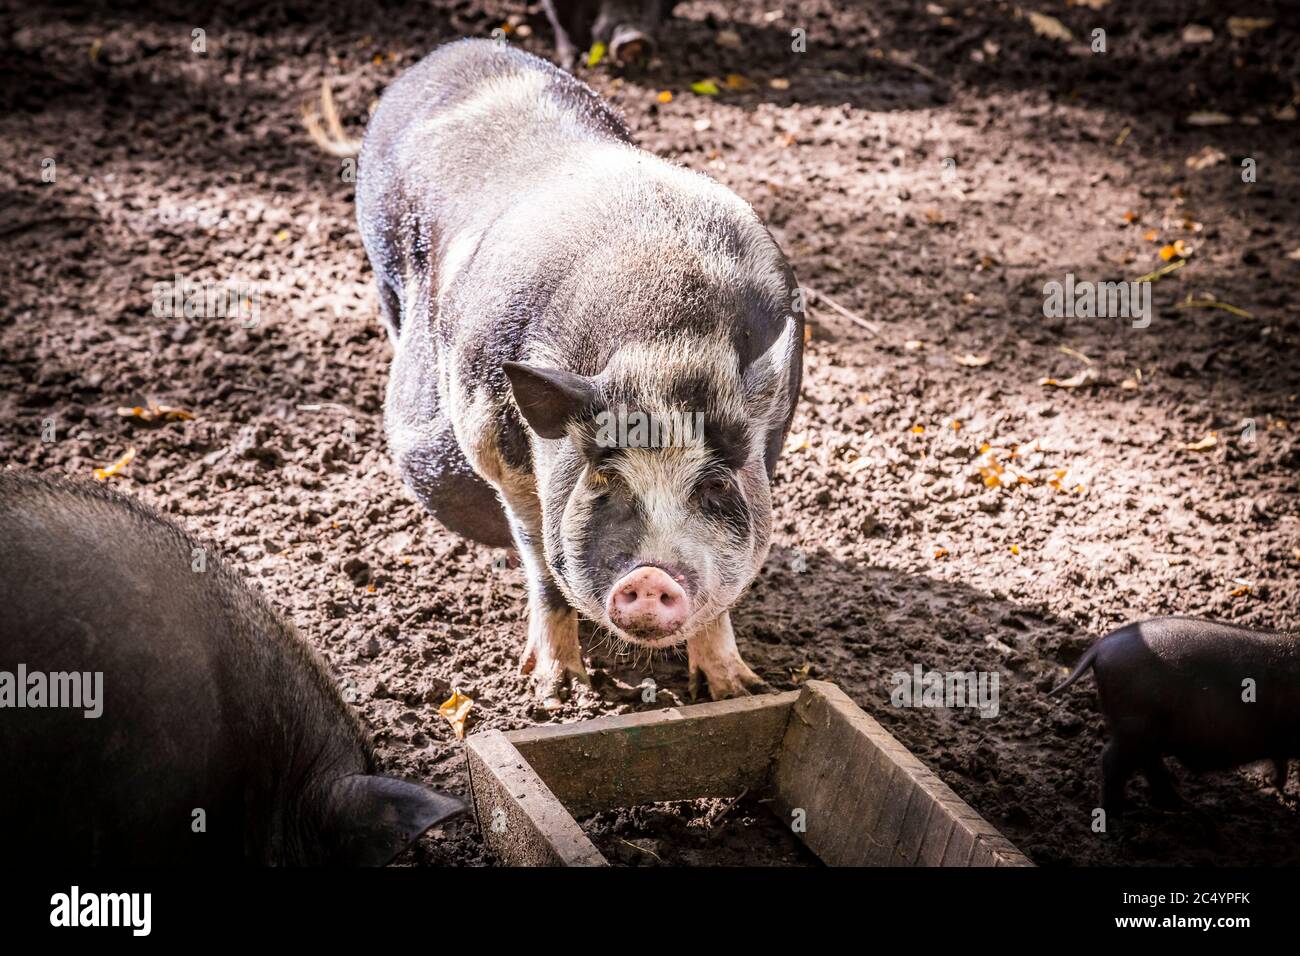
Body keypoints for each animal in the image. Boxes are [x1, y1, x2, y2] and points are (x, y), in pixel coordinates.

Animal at [355, 40, 803, 706]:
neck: (661, 342)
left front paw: (736, 689)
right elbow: (542, 562)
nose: (650, 576)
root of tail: (450, 54)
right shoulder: (498, 453)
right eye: (605, 478)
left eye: (717, 484)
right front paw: (556, 689)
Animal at [1050, 616, 1300, 816]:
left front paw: (1276, 785)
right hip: (1135, 725)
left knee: (1148, 762)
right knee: (1112, 761)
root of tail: (1100, 647)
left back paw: (1178, 803)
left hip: (1143, 731)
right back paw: (1119, 813)